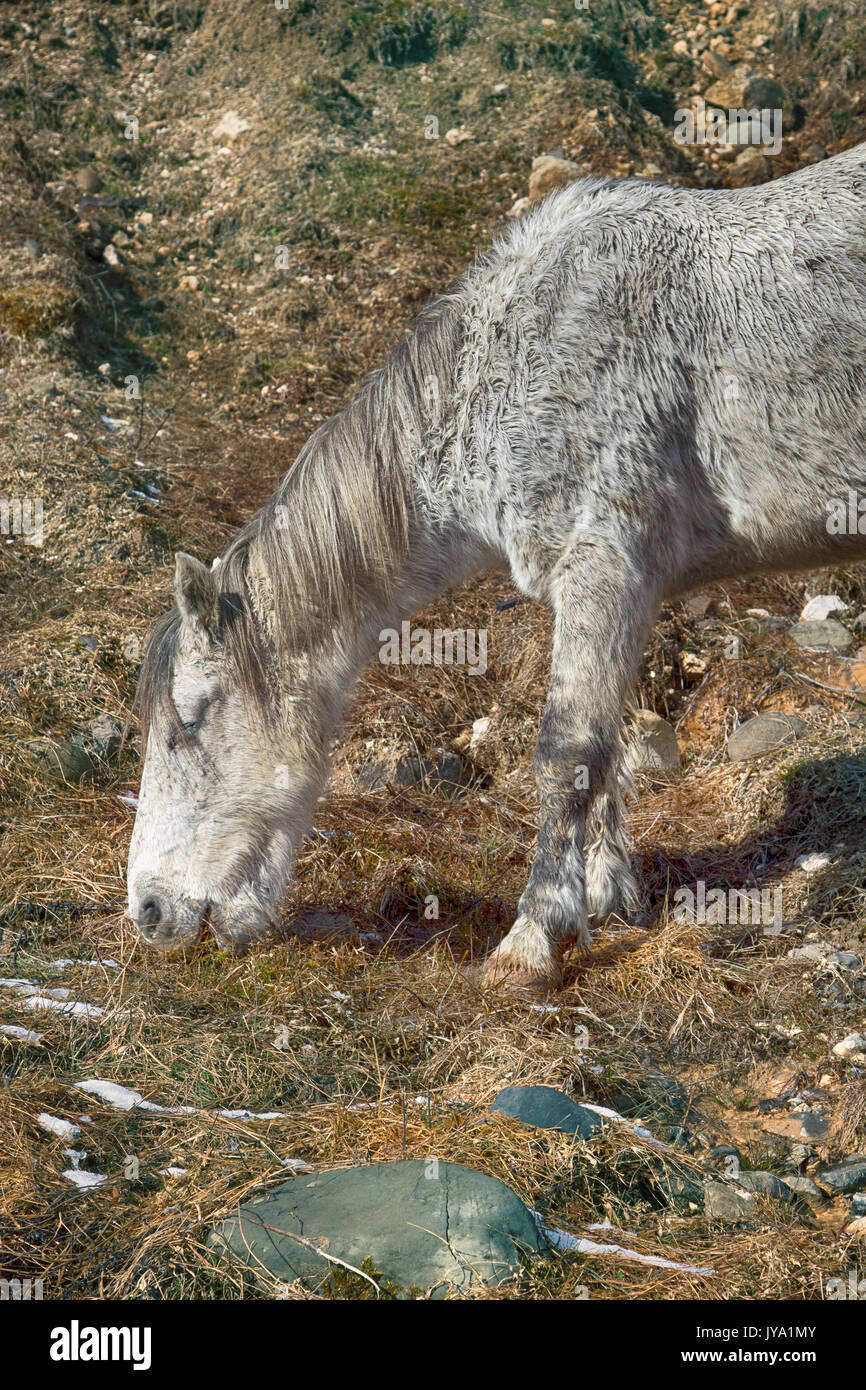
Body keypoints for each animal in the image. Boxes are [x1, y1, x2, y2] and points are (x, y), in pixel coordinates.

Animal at [127, 141, 866, 988]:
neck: (507, 373)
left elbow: (565, 755)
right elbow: (609, 746)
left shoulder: (604, 569)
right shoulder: (625, 590)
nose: (148, 911)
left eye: (188, 724)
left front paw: (533, 936)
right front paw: (608, 894)